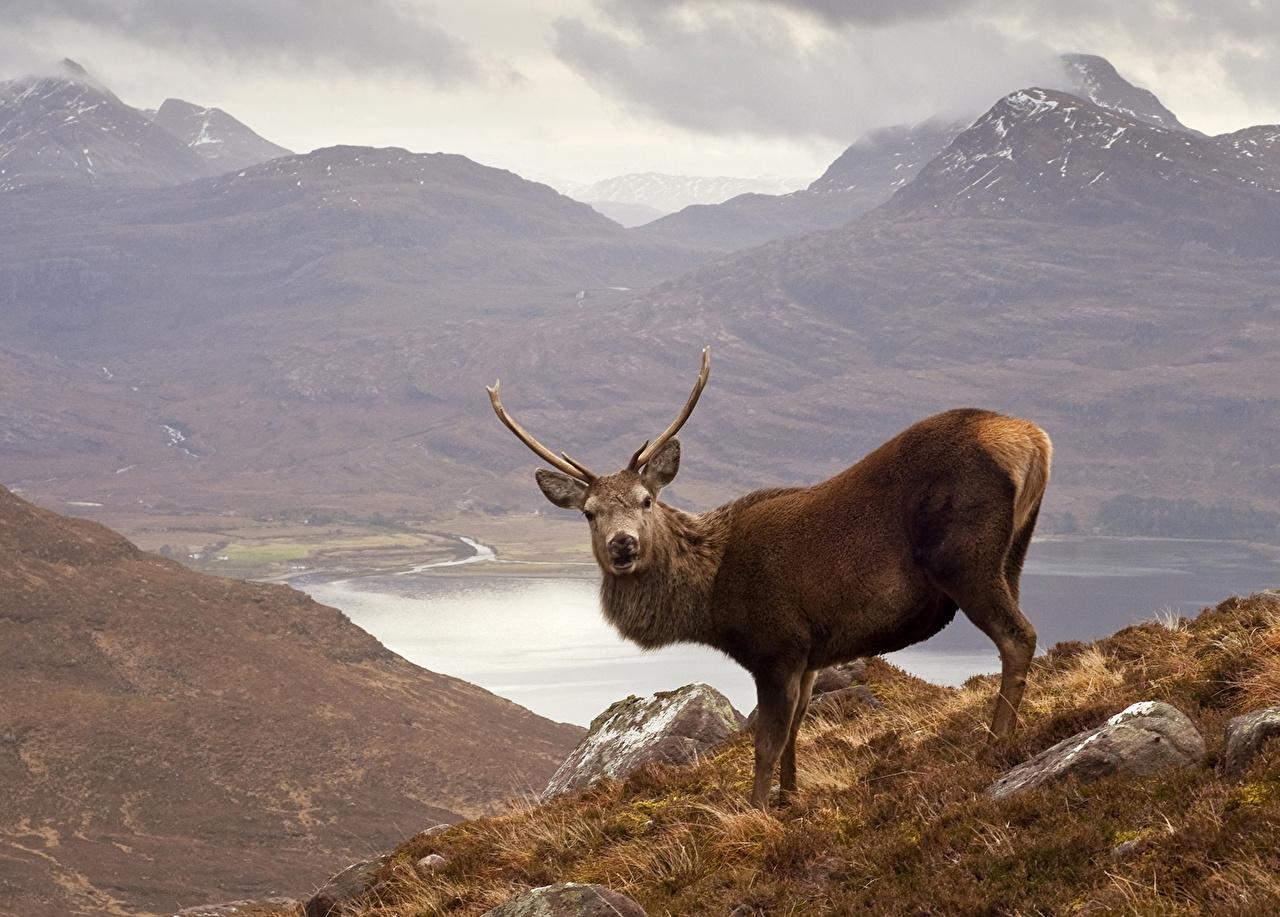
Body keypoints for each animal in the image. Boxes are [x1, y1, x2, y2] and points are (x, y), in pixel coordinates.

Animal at [487, 348, 1052, 809]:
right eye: (589, 513)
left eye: (647, 500)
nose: (621, 545)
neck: (711, 602)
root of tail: (1034, 440)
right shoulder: (811, 651)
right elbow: (799, 728)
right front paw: (790, 796)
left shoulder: (775, 645)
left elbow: (766, 742)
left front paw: (756, 808)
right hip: (1014, 557)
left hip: (965, 558)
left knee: (1018, 636)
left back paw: (994, 745)